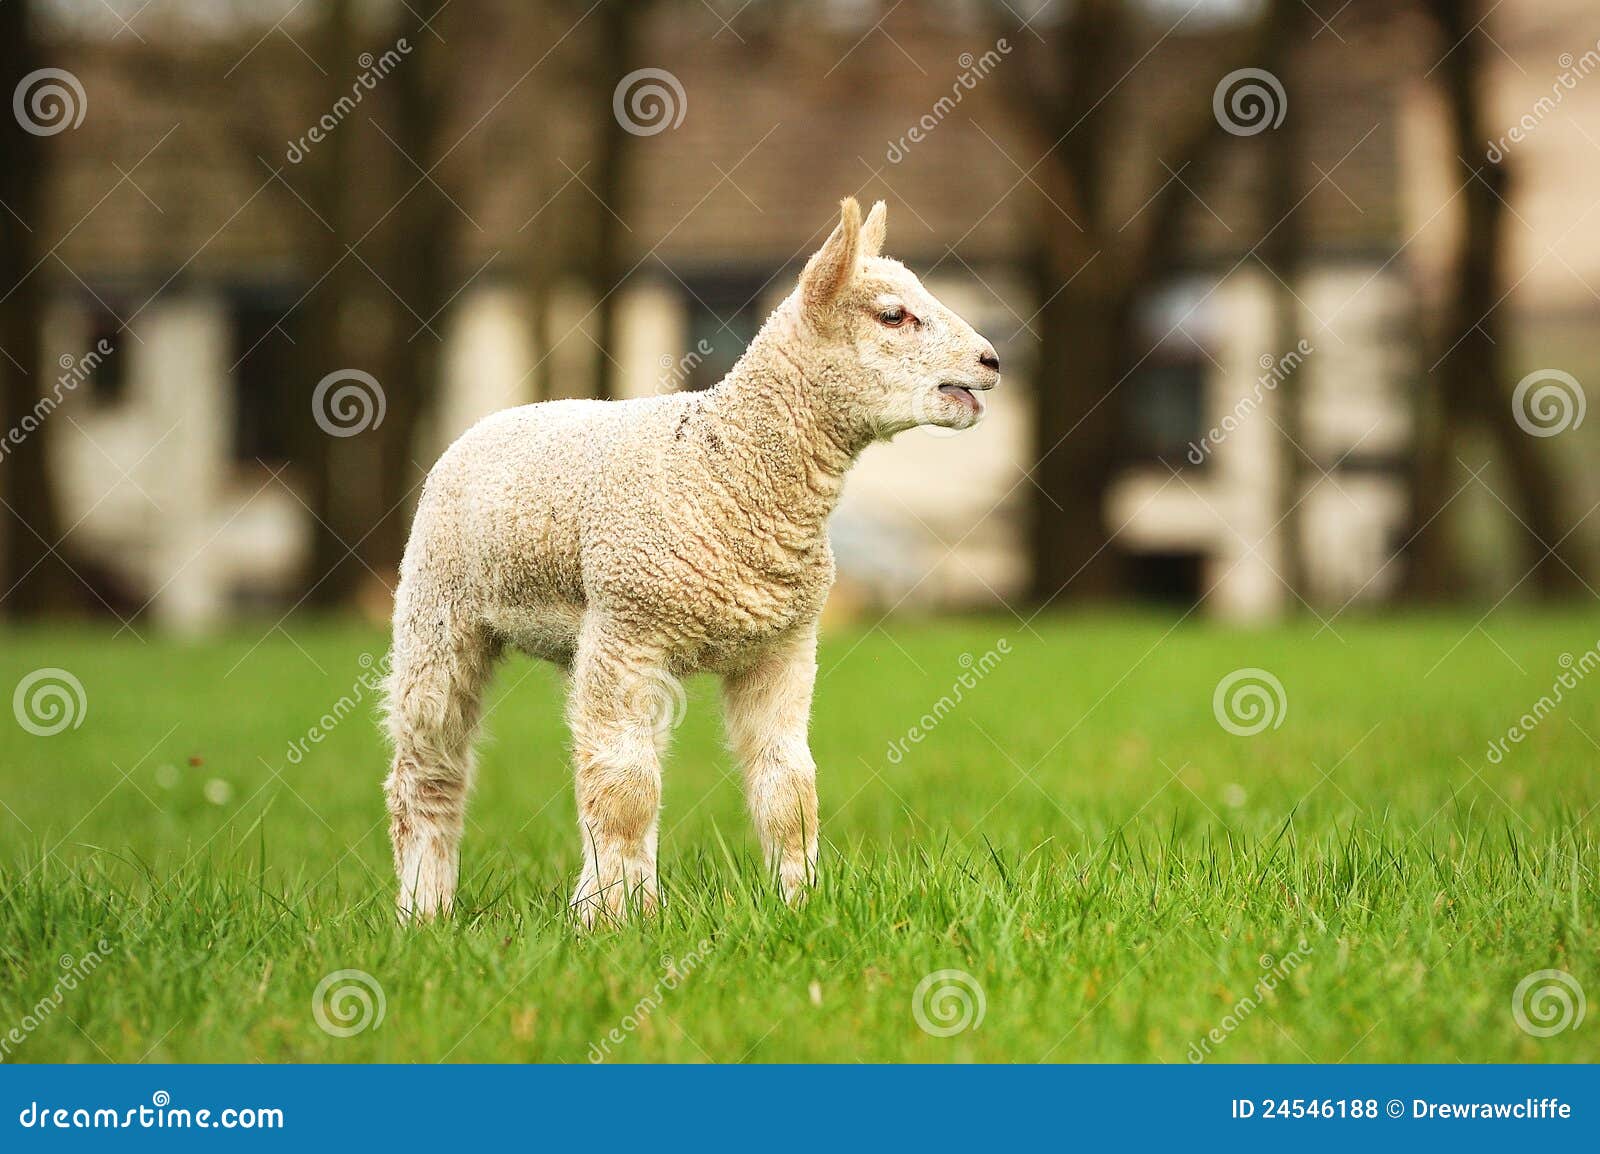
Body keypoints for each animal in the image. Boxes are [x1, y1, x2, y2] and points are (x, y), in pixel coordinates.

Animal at [382, 197, 1001, 925]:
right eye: (892, 315)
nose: (992, 361)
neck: (730, 468)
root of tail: (494, 419)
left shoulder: (783, 645)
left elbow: (788, 788)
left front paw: (797, 906)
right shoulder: (631, 631)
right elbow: (627, 791)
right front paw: (608, 923)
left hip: (582, 642)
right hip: (437, 611)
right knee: (429, 774)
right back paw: (425, 911)